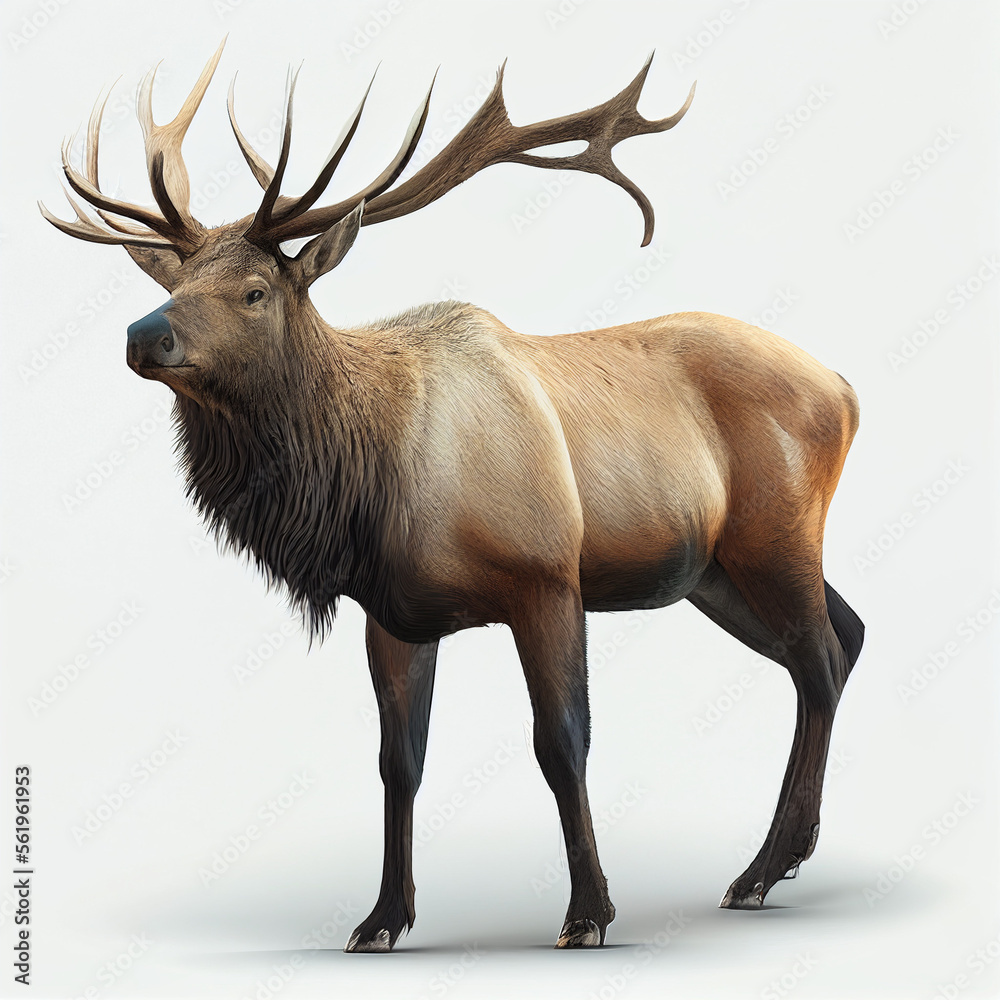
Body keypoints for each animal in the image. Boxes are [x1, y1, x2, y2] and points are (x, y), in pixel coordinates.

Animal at [41, 40, 864, 952]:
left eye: (255, 291)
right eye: (174, 286)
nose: (143, 334)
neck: (369, 481)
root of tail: (844, 388)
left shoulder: (548, 578)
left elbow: (562, 742)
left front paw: (588, 911)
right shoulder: (393, 611)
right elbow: (398, 762)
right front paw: (381, 918)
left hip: (773, 536)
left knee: (821, 658)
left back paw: (758, 871)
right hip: (713, 573)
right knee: (843, 636)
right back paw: (780, 859)